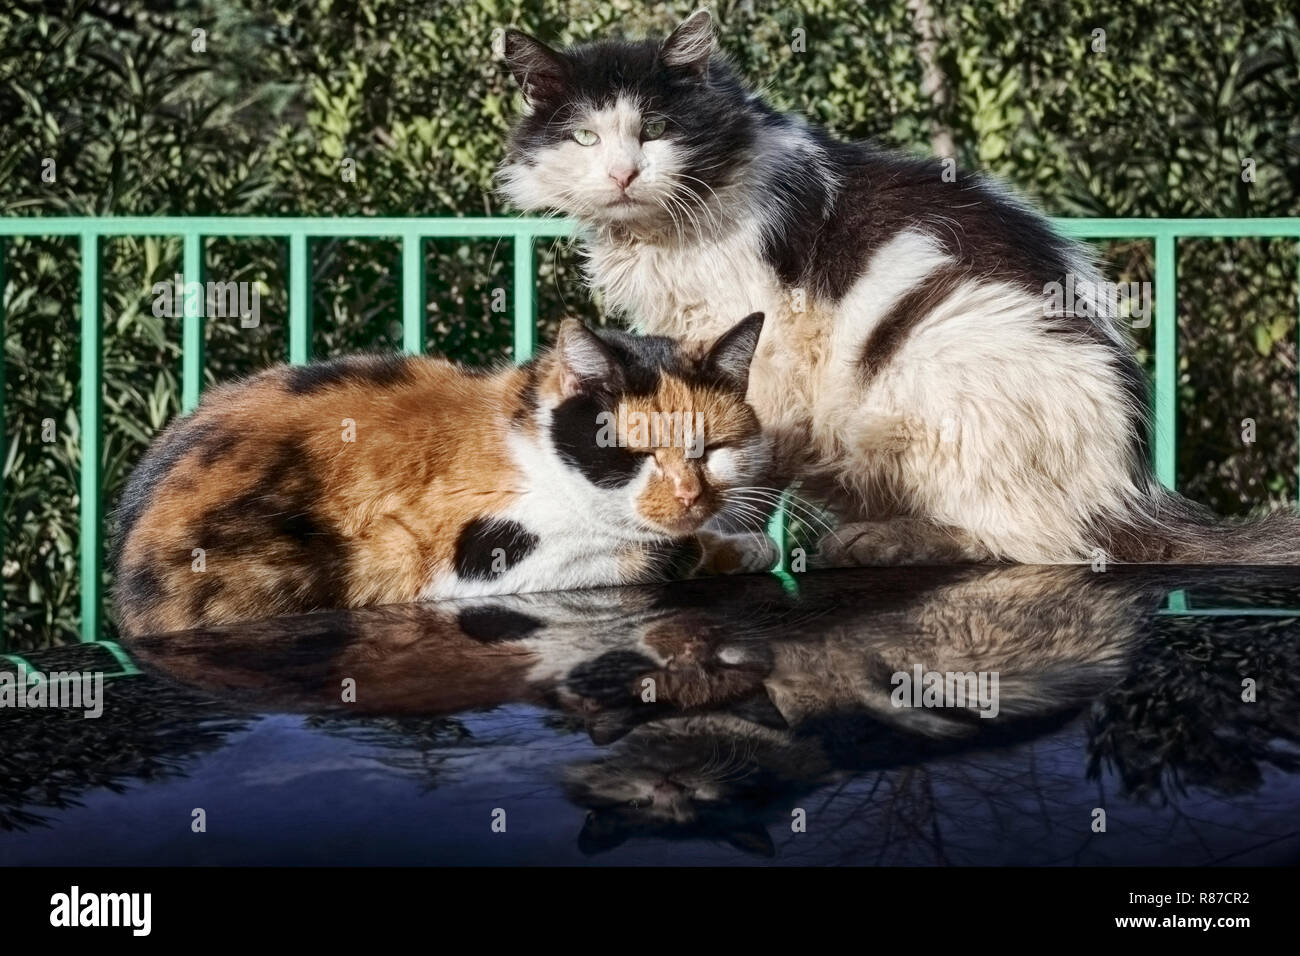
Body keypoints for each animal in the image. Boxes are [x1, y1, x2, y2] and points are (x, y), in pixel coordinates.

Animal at [111, 317, 769, 639]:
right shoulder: (469, 556)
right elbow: (651, 553)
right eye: (635, 452)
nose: (689, 494)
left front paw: (741, 546)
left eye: (712, 449)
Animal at [496, 9, 1300, 567]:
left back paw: (885, 540)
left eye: (657, 128)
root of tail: (1128, 489)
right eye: (584, 138)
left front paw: (729, 536)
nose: (623, 173)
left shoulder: (772, 341)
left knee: (1035, 539)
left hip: (947, 362)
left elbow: (748, 446)